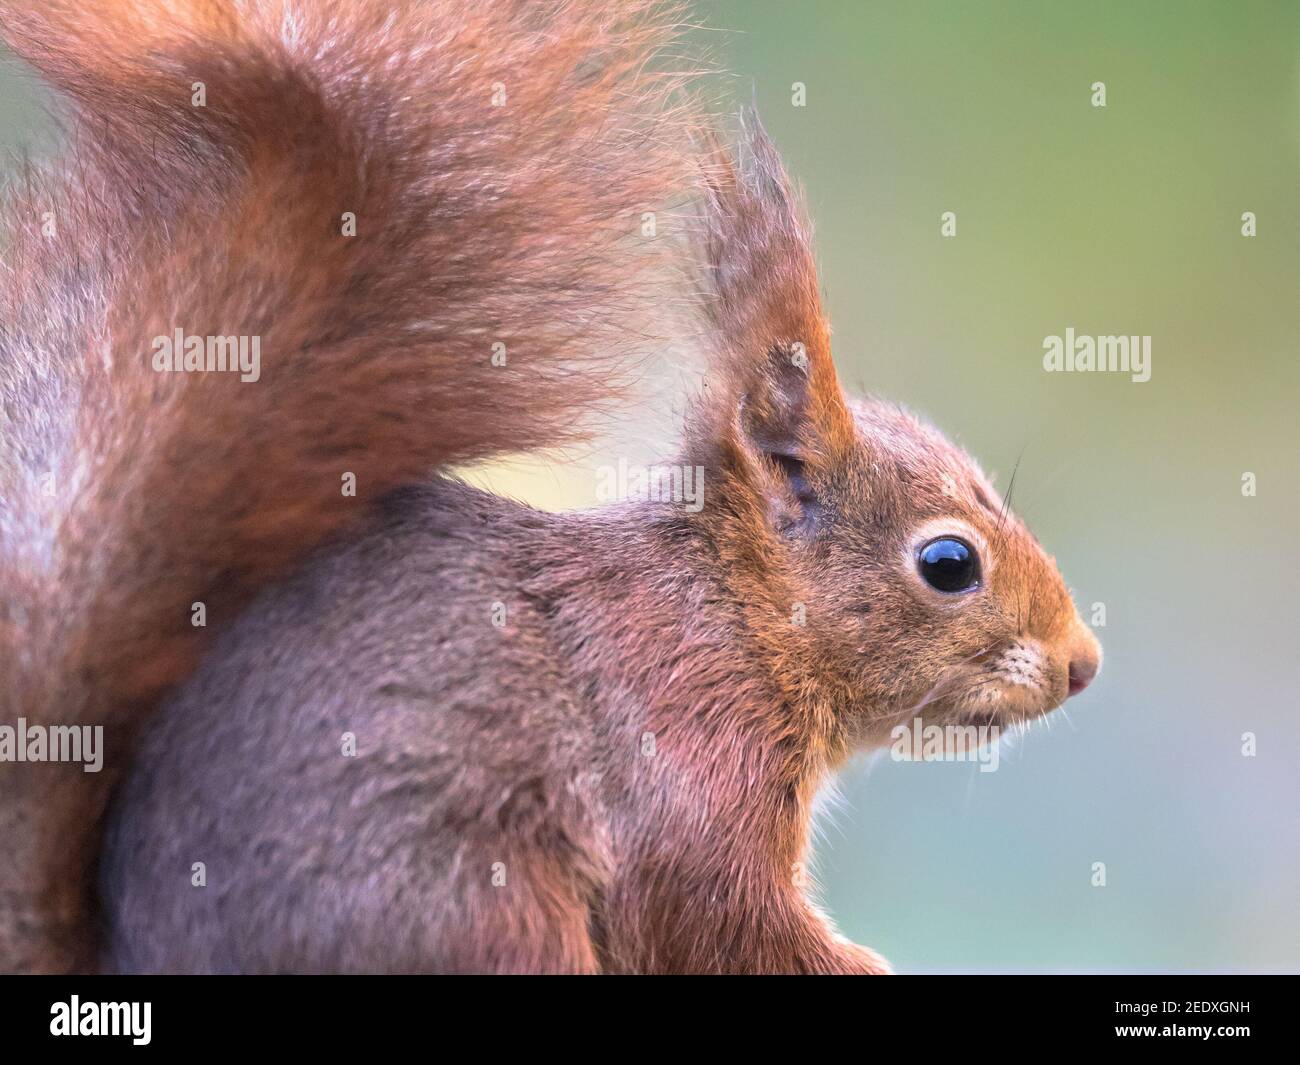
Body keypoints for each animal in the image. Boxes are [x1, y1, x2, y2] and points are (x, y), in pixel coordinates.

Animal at [0, 0, 1101, 975]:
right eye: (948, 562)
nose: (1082, 665)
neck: (733, 615)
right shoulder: (685, 758)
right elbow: (713, 917)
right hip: (474, 906)